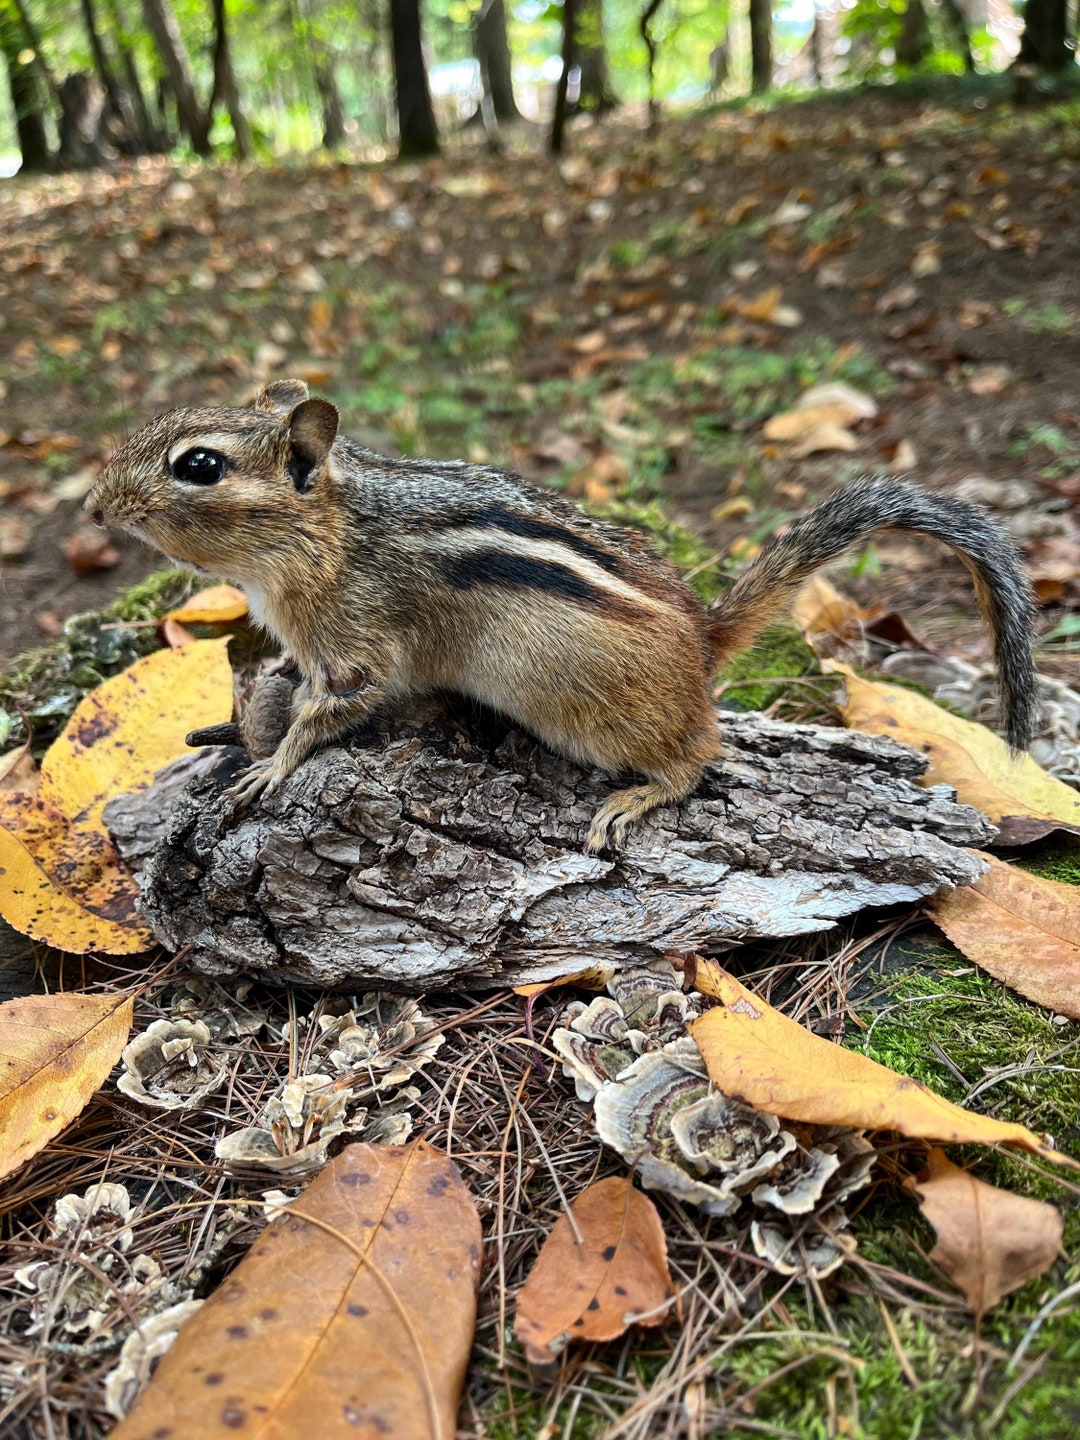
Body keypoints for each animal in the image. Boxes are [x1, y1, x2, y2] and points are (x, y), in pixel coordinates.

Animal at [85, 379, 1039, 852]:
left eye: (199, 465)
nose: (95, 507)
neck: (328, 533)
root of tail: (701, 639)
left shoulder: (361, 642)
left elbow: (332, 713)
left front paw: (270, 767)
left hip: (597, 715)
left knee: (699, 753)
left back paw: (644, 793)